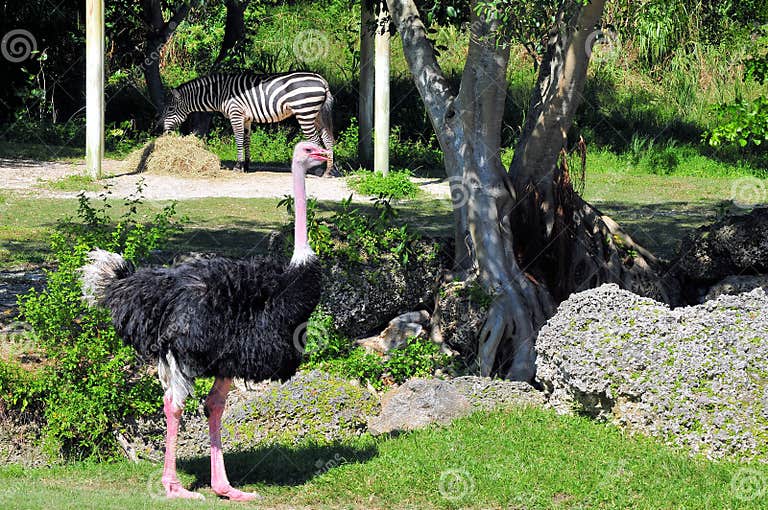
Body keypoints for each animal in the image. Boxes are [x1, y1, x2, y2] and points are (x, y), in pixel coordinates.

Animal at [161, 72, 335, 175]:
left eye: (170, 109)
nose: (164, 130)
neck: (220, 94)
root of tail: (322, 80)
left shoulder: (235, 114)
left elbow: (238, 140)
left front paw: (238, 166)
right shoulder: (247, 118)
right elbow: (246, 140)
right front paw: (247, 166)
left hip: (305, 112)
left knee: (315, 140)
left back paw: (315, 170)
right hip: (317, 114)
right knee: (327, 139)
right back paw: (328, 170)